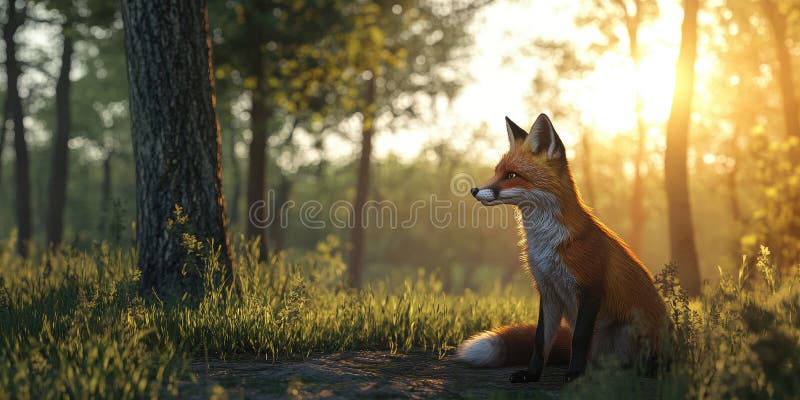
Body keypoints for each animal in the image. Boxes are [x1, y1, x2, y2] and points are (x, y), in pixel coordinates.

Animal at [457, 114, 667, 383]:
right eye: (497, 172)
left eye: (512, 175)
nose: (474, 190)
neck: (546, 245)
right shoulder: (547, 291)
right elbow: (540, 341)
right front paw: (531, 374)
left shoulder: (590, 289)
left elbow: (578, 339)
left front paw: (575, 375)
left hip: (629, 328)